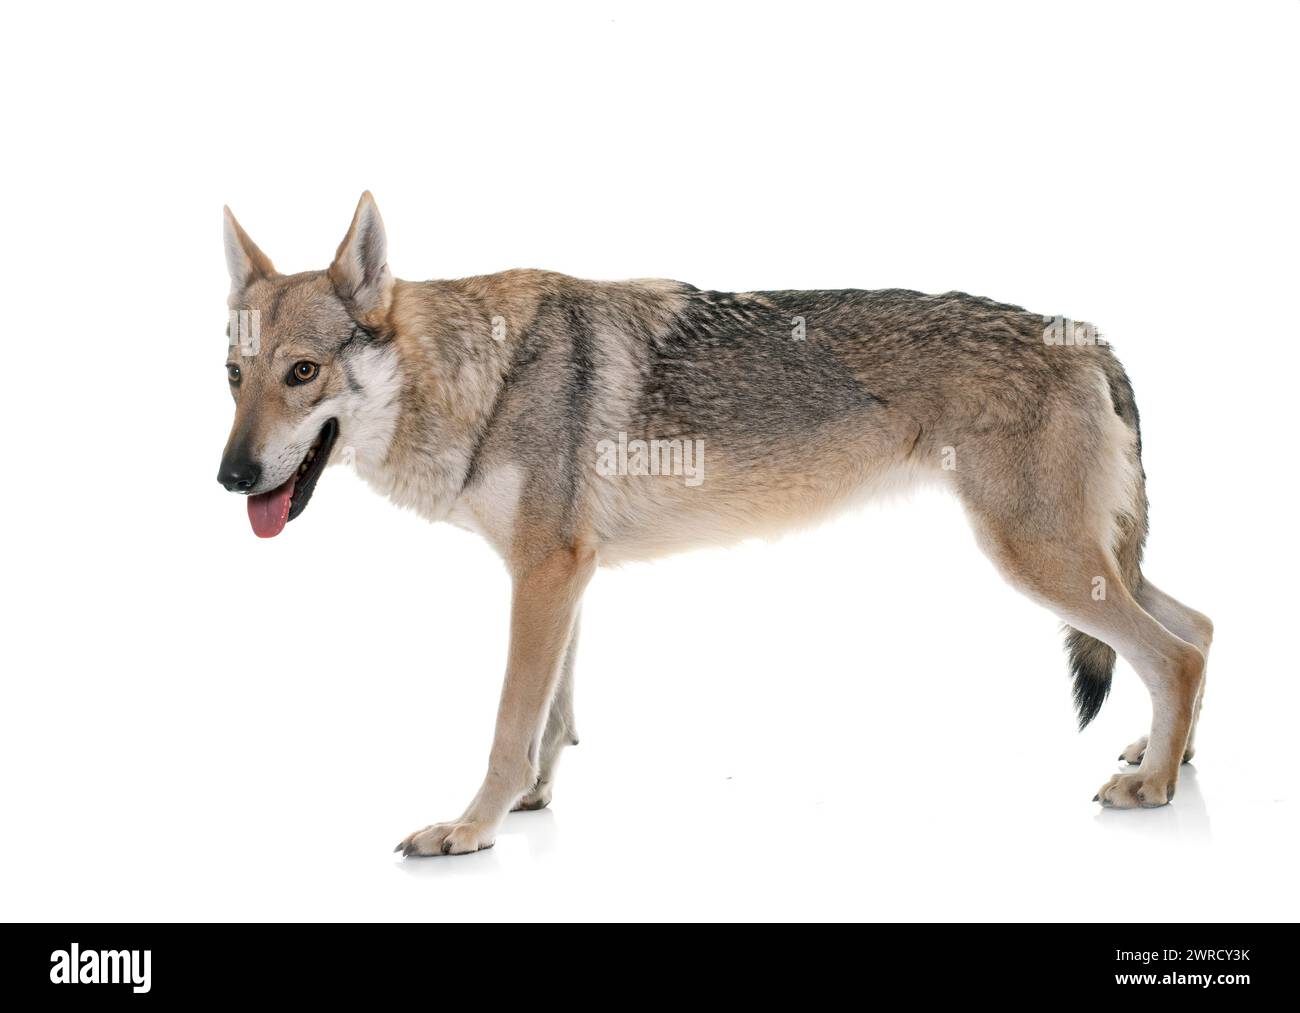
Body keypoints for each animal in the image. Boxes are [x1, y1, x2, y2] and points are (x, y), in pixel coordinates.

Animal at [218, 192, 1213, 855]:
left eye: (303, 372)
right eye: (234, 375)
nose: (229, 477)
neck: (480, 377)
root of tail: (1085, 334)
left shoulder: (543, 574)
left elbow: (508, 723)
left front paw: (468, 828)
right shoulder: (566, 576)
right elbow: (552, 719)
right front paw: (531, 803)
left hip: (1039, 560)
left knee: (1175, 652)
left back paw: (1156, 786)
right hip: (1079, 559)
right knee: (1198, 626)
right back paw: (1169, 754)